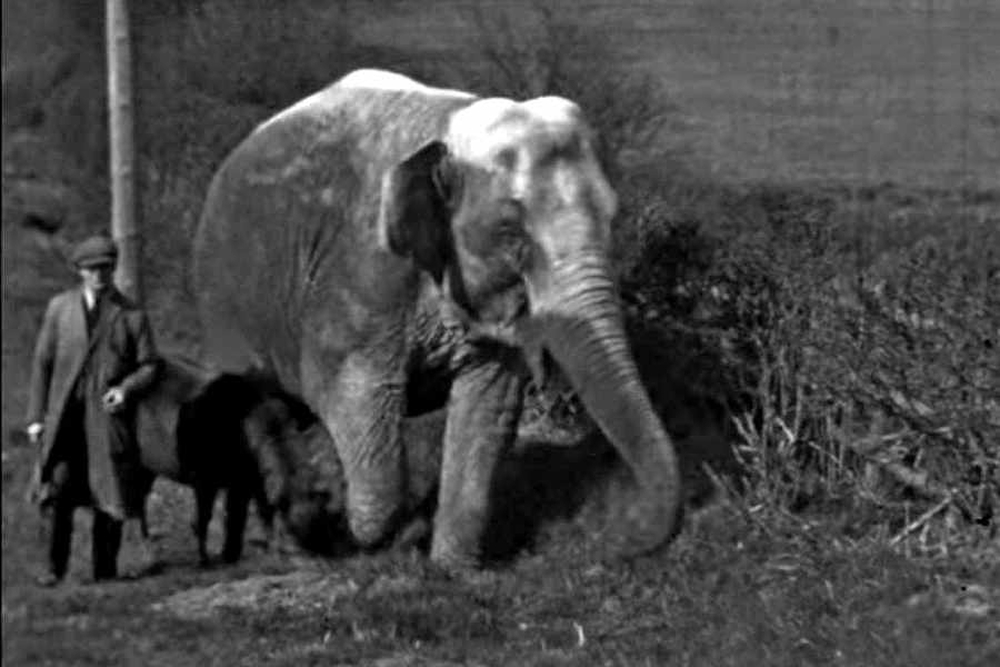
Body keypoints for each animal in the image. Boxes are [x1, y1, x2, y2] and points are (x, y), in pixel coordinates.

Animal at [193, 68, 682, 568]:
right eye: (511, 231)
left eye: (613, 218)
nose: (610, 539)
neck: (451, 126)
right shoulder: (361, 273)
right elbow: (355, 396)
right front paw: (371, 536)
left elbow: (489, 406)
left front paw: (453, 568)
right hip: (222, 297)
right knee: (259, 409)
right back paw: (286, 545)